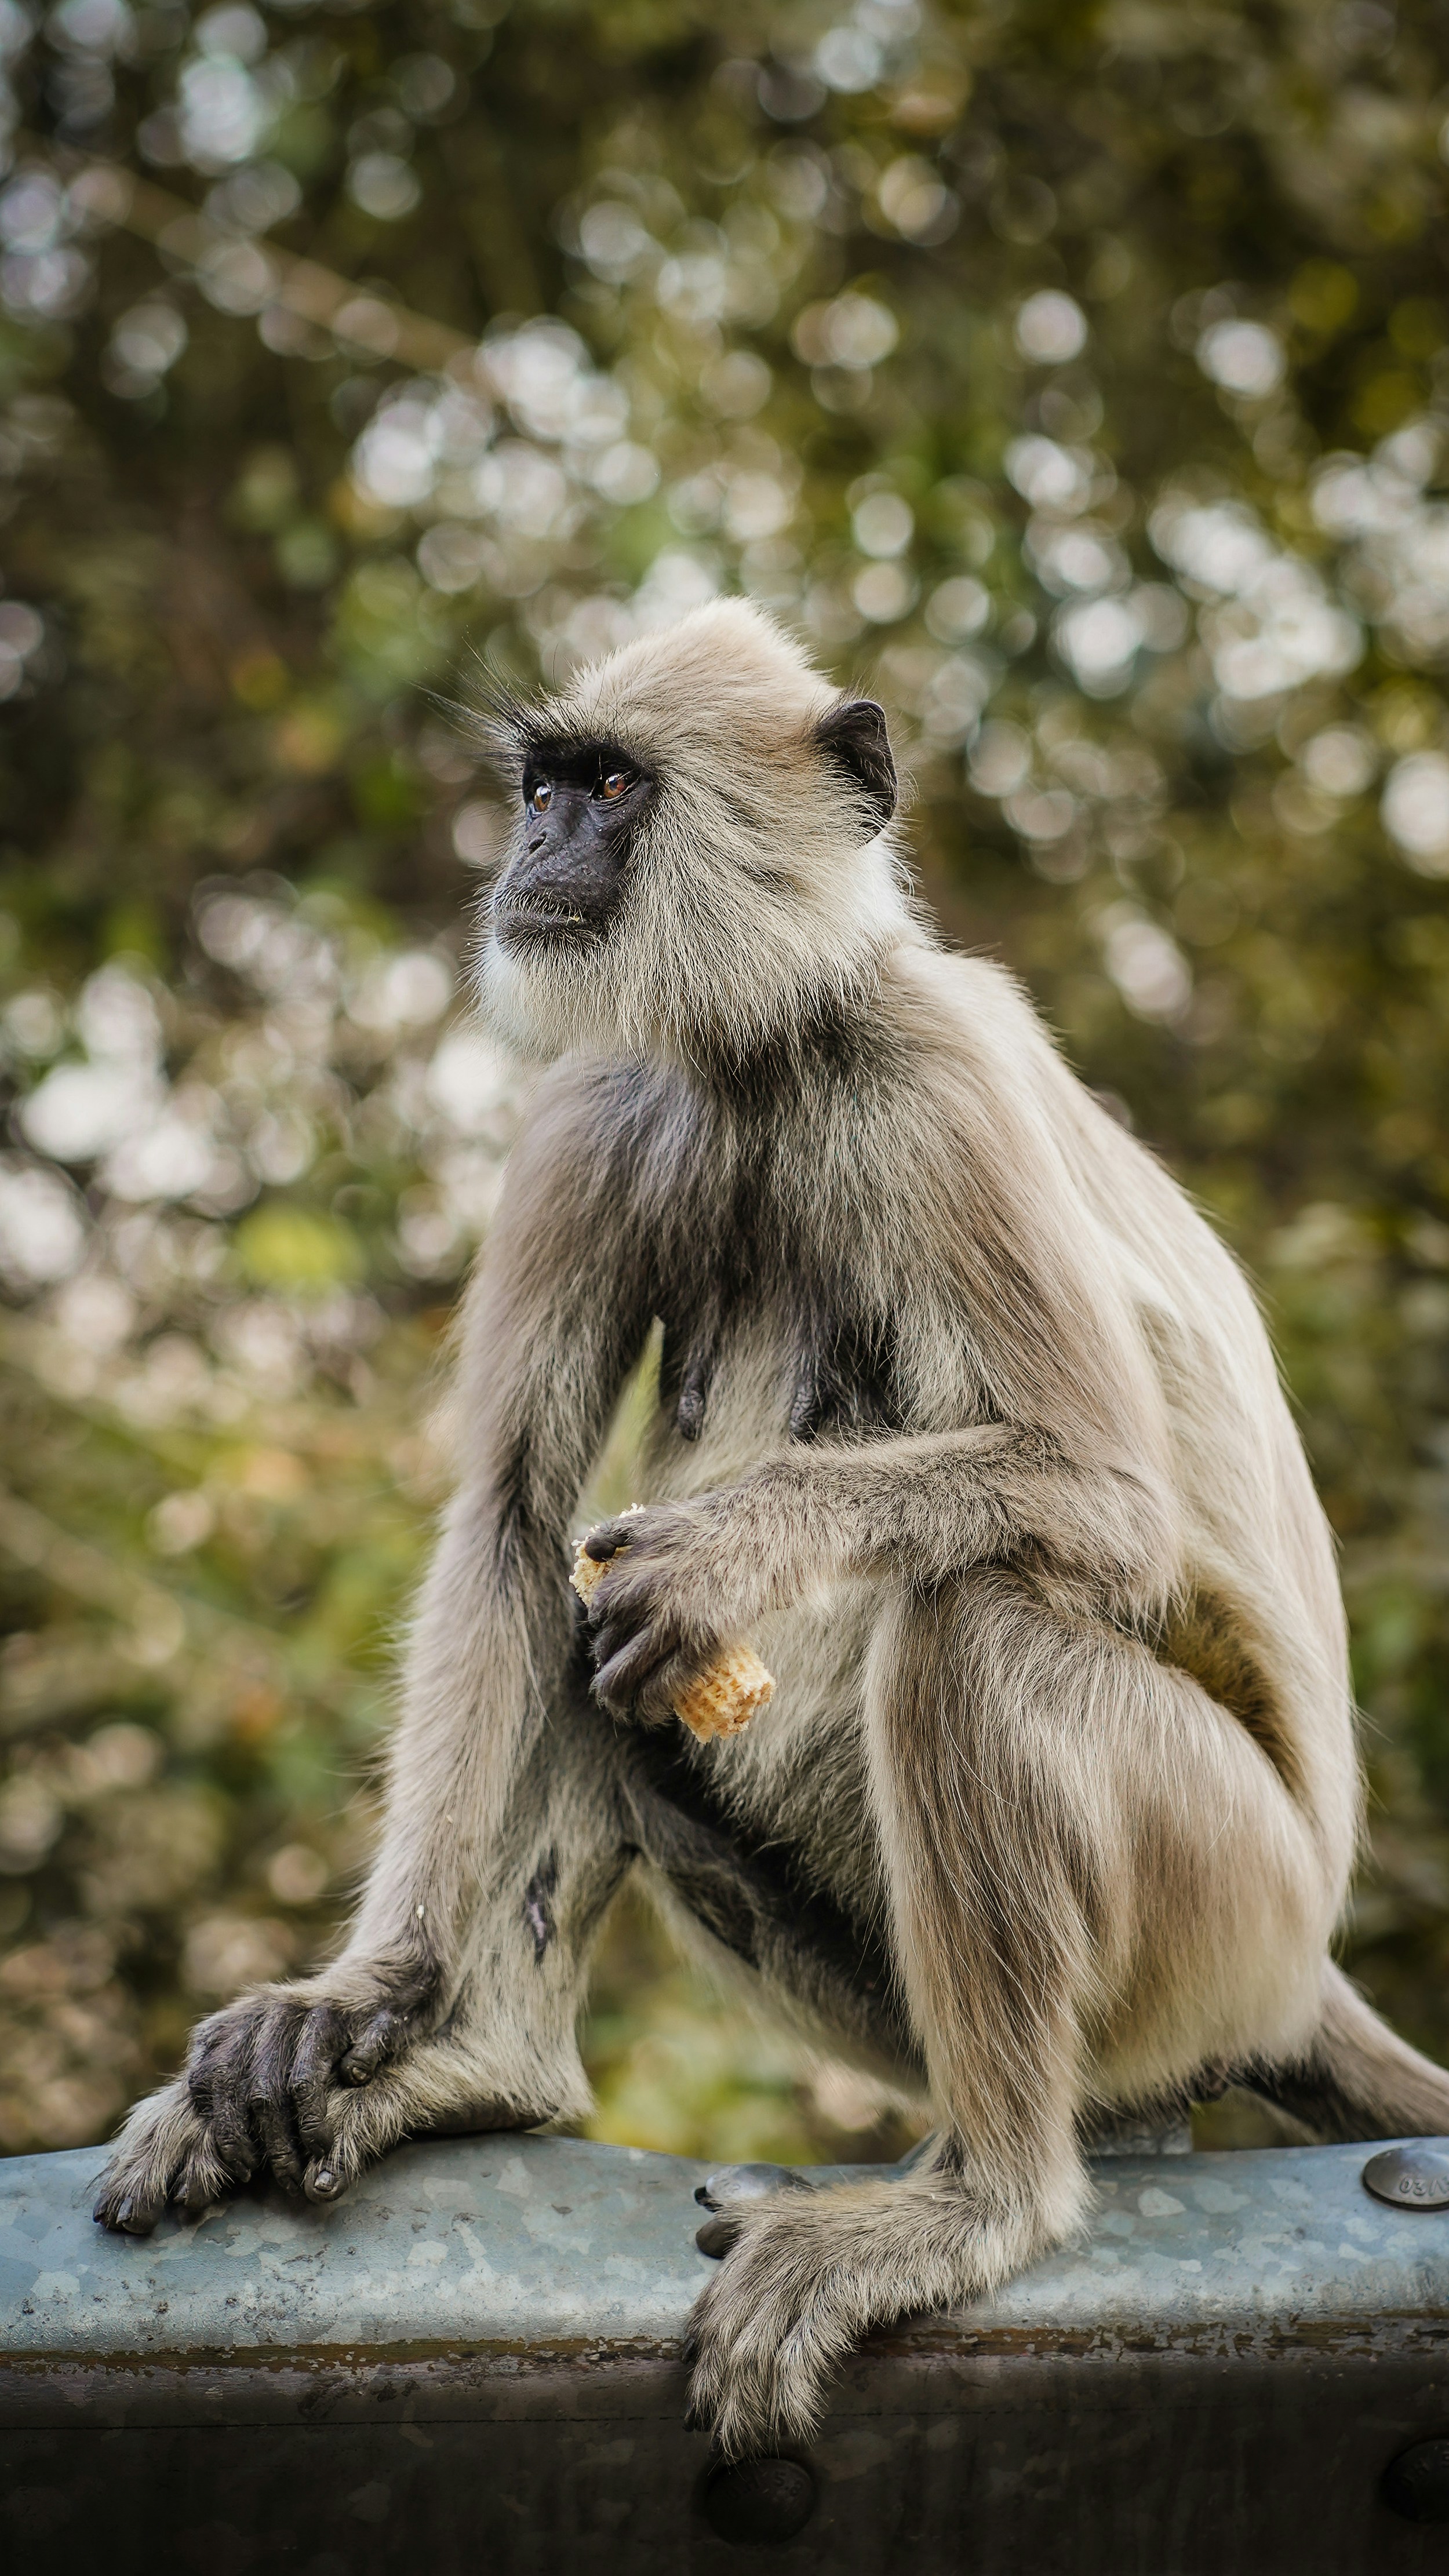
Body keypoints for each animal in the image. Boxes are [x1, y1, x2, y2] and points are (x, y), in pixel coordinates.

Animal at [95, 597, 1449, 2459]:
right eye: (542, 784)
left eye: (609, 787)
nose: (531, 849)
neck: (766, 1050)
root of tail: (1302, 1963)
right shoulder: (602, 1099)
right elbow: (511, 1526)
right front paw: (366, 1992)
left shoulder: (935, 1072)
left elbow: (1105, 1499)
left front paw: (730, 1551)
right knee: (590, 1639)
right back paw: (488, 2064)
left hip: (1220, 1913)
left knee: (966, 1622)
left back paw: (985, 2202)